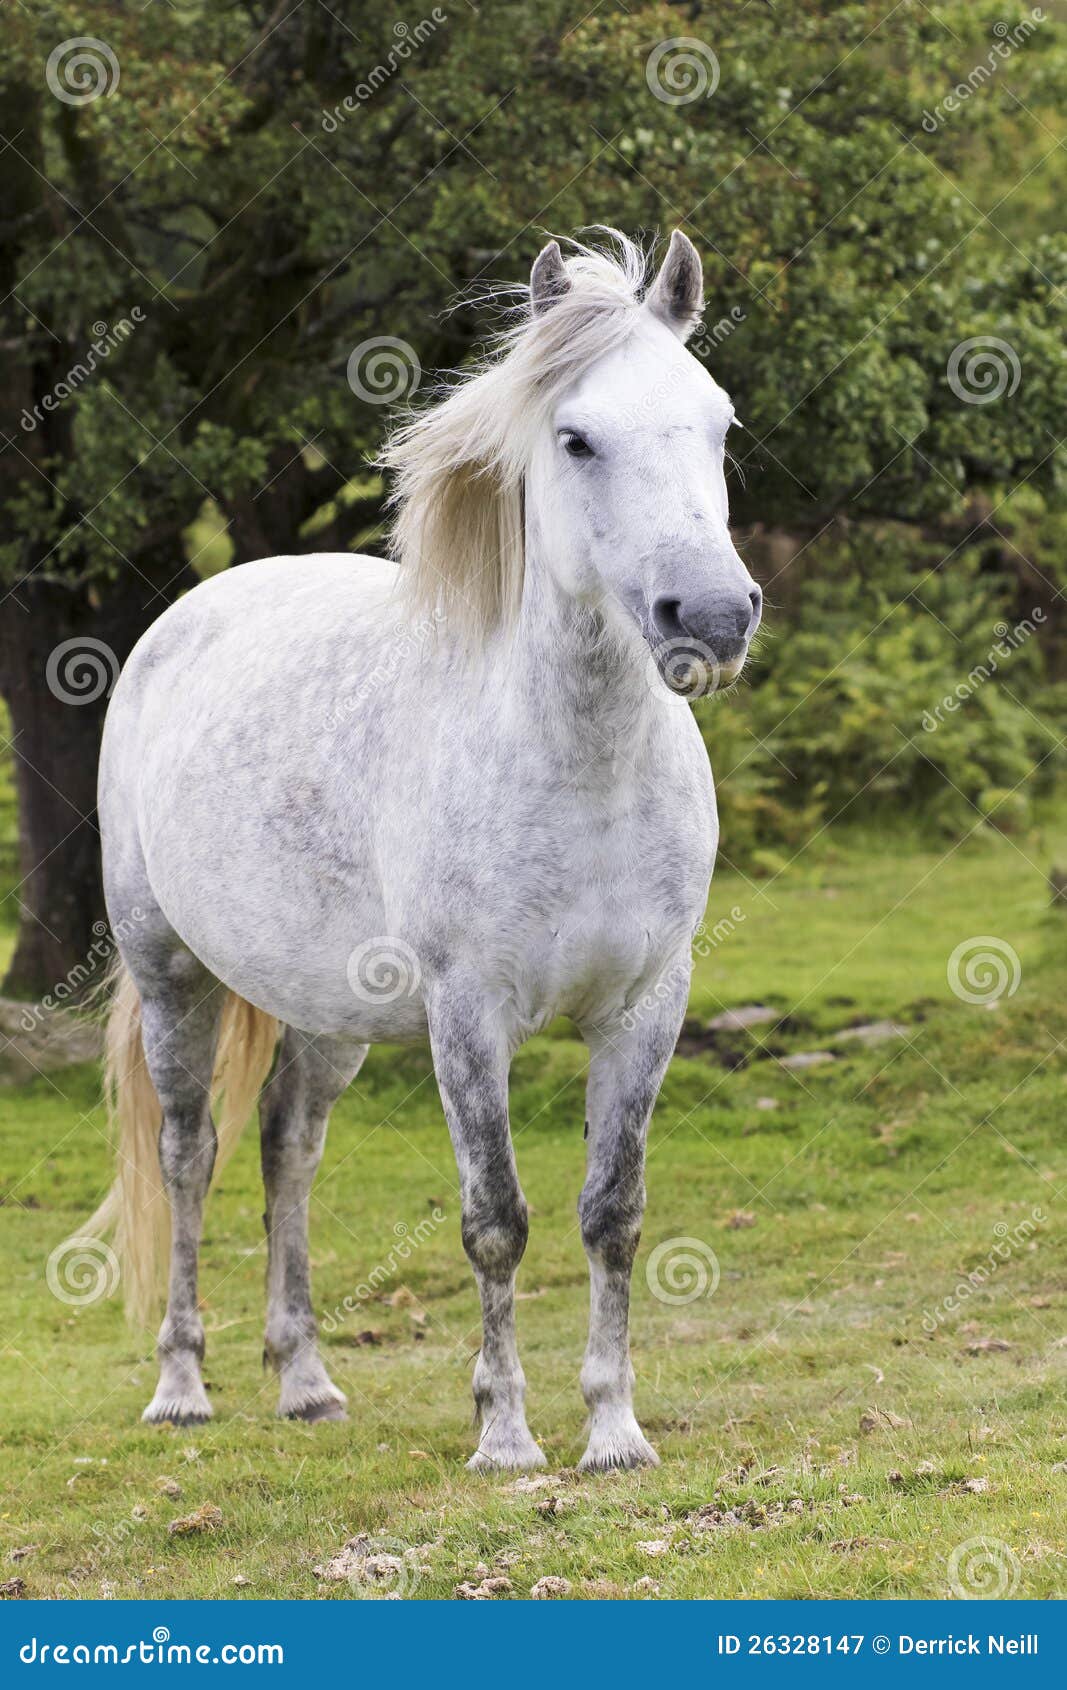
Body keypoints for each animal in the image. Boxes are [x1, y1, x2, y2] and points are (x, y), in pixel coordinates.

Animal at [88, 229, 762, 1472]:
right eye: (574, 438)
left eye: (717, 423)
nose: (710, 617)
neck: (577, 764)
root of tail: (189, 614)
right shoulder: (467, 1017)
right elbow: (495, 1222)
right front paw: (504, 1435)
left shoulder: (647, 1004)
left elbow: (611, 1212)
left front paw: (614, 1429)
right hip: (169, 972)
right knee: (188, 1152)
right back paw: (182, 1387)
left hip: (326, 1012)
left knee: (287, 1149)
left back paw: (305, 1380)